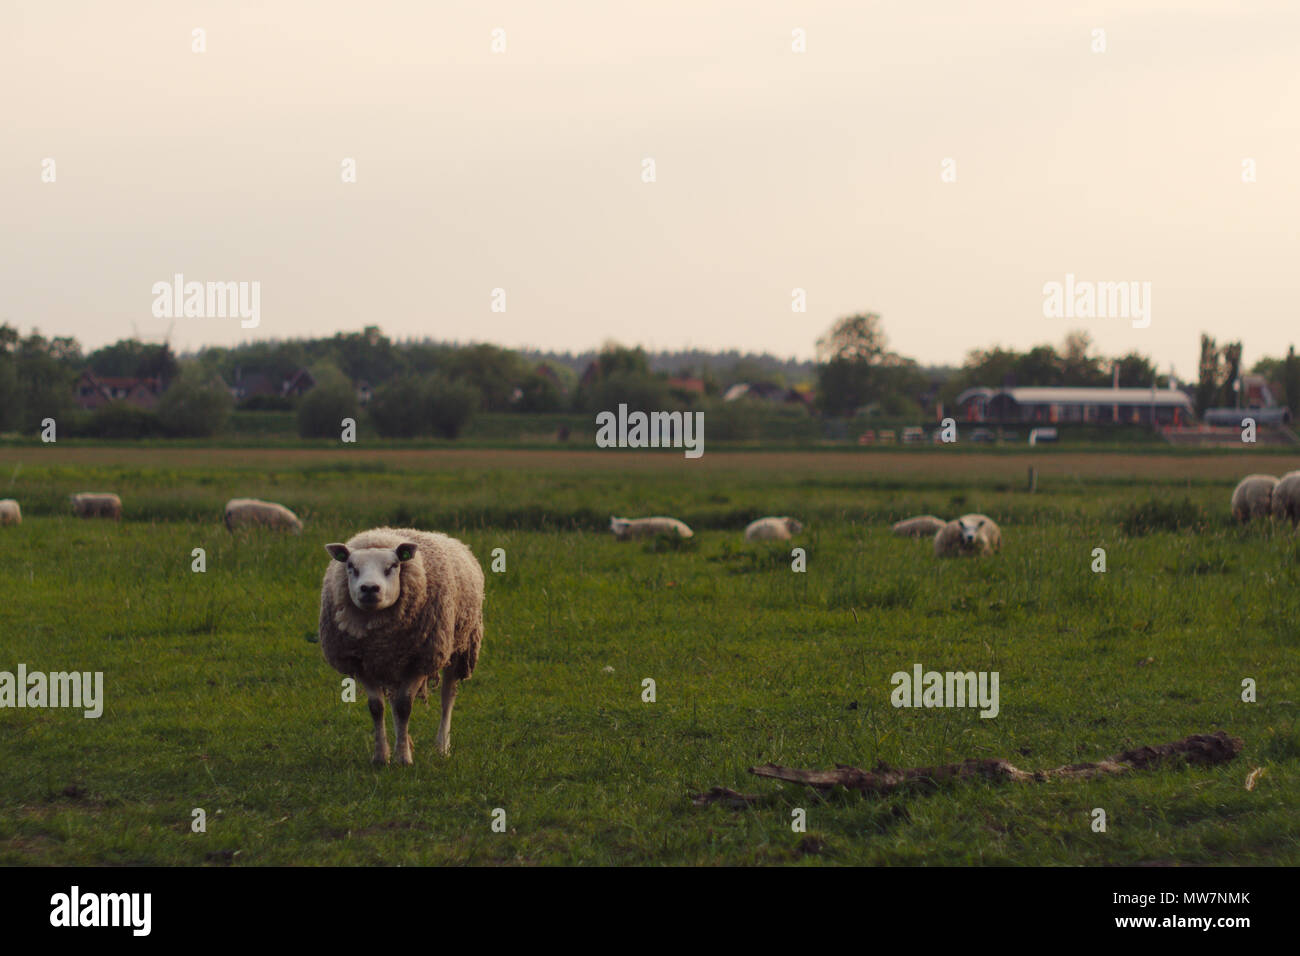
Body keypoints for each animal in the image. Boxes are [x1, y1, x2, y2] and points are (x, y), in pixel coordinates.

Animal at [318, 527, 484, 765]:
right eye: (351, 567)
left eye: (393, 566)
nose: (369, 588)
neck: (380, 640)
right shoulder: (361, 663)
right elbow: (377, 708)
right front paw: (382, 756)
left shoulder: (420, 660)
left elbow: (405, 707)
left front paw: (404, 758)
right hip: (394, 665)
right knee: (394, 701)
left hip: (457, 648)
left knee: (447, 698)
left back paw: (442, 746)